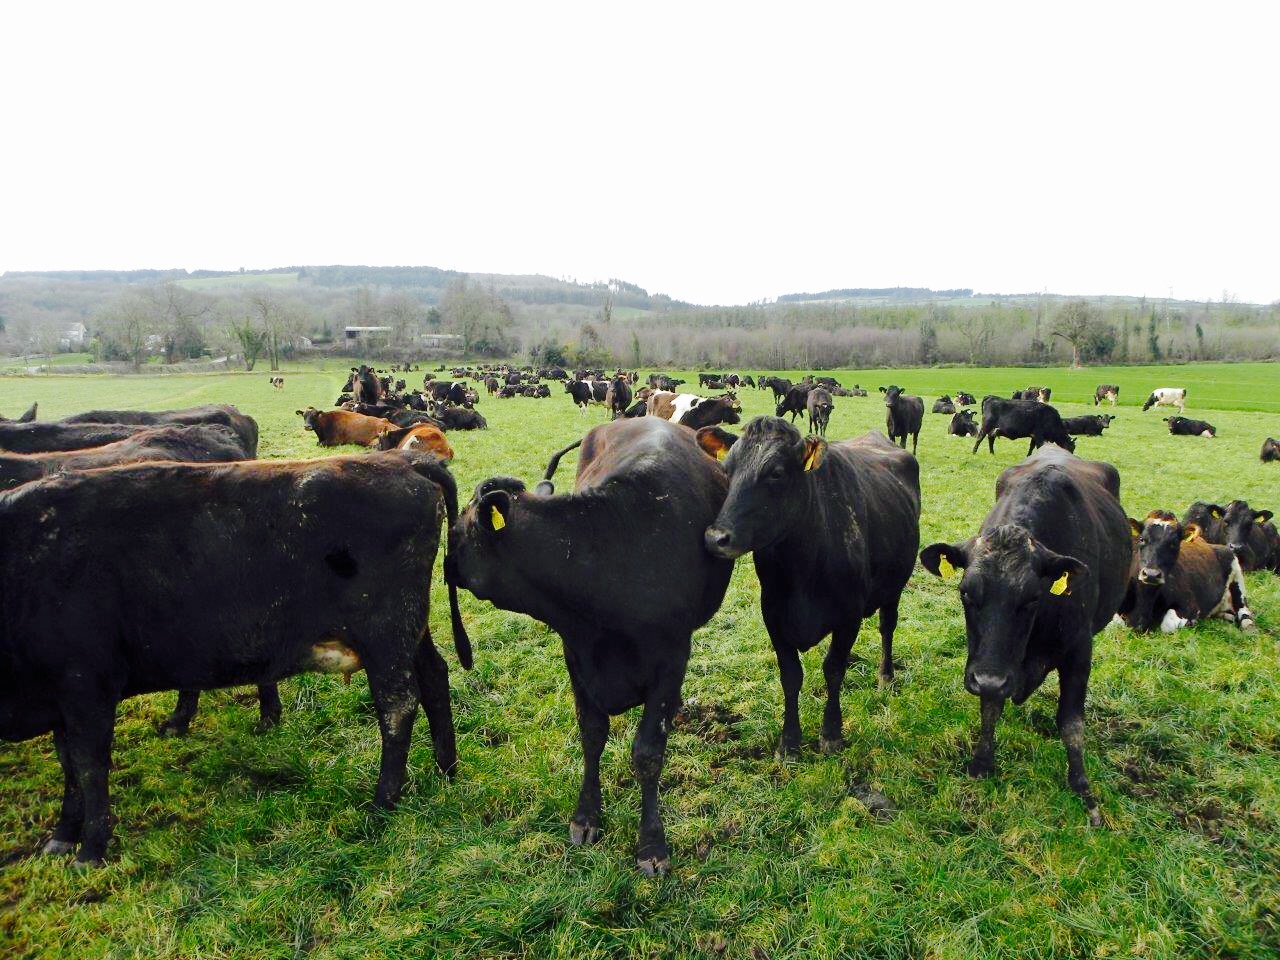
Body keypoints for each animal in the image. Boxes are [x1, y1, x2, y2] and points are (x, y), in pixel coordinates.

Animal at [0, 451, 470, 864]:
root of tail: (402, 460)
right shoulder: (64, 701)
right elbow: (69, 767)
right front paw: (64, 834)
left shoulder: (86, 687)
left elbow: (88, 767)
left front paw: (91, 849)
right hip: (409, 631)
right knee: (434, 678)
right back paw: (445, 769)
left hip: (386, 634)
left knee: (397, 706)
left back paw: (382, 803)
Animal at [445, 417, 733, 875]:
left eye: (456, 530)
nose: (447, 564)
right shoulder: (576, 652)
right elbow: (592, 734)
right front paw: (586, 817)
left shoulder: (671, 656)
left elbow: (648, 753)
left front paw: (651, 844)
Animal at [701, 421, 919, 757]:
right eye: (726, 469)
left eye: (776, 472)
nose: (716, 538)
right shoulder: (773, 614)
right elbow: (791, 676)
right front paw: (789, 742)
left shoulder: (849, 617)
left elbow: (834, 670)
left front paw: (831, 734)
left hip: (895, 585)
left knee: (887, 626)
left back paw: (886, 676)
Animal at [919, 444, 1134, 826]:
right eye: (965, 592)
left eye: (1033, 597)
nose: (990, 679)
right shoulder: (985, 661)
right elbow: (990, 707)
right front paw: (982, 763)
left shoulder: (1079, 652)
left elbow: (1071, 723)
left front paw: (1082, 788)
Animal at [1121, 511, 1255, 633]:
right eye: (1142, 539)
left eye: (1174, 543)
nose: (1151, 574)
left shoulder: (1190, 605)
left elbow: (1167, 625)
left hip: (1237, 577)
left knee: (1244, 610)